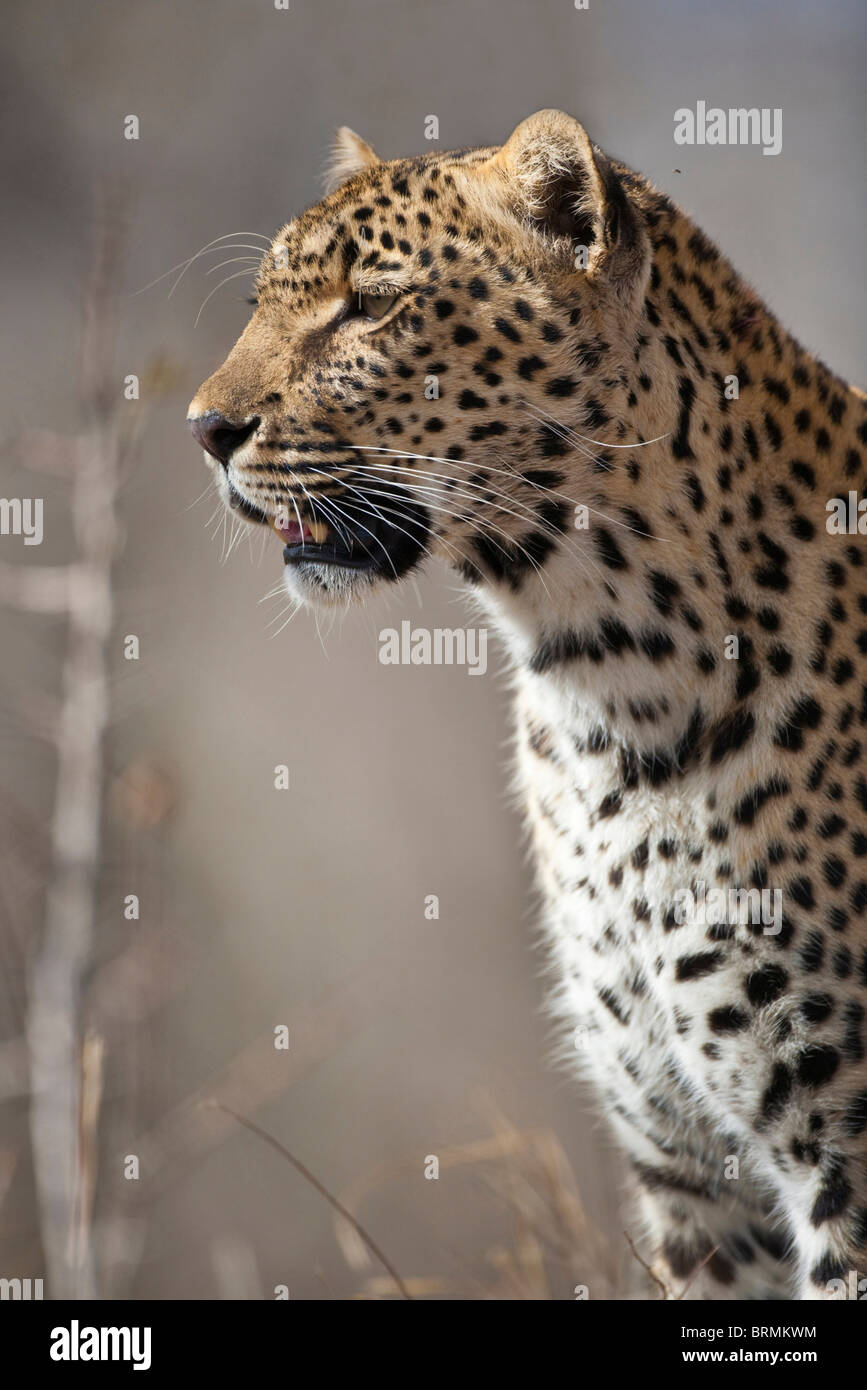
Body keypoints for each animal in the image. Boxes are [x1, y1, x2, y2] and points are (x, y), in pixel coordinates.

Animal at [188, 110, 867, 1300]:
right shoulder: (687, 1169)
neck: (609, 682)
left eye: (372, 302)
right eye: (263, 302)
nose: (204, 428)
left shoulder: (845, 1143)